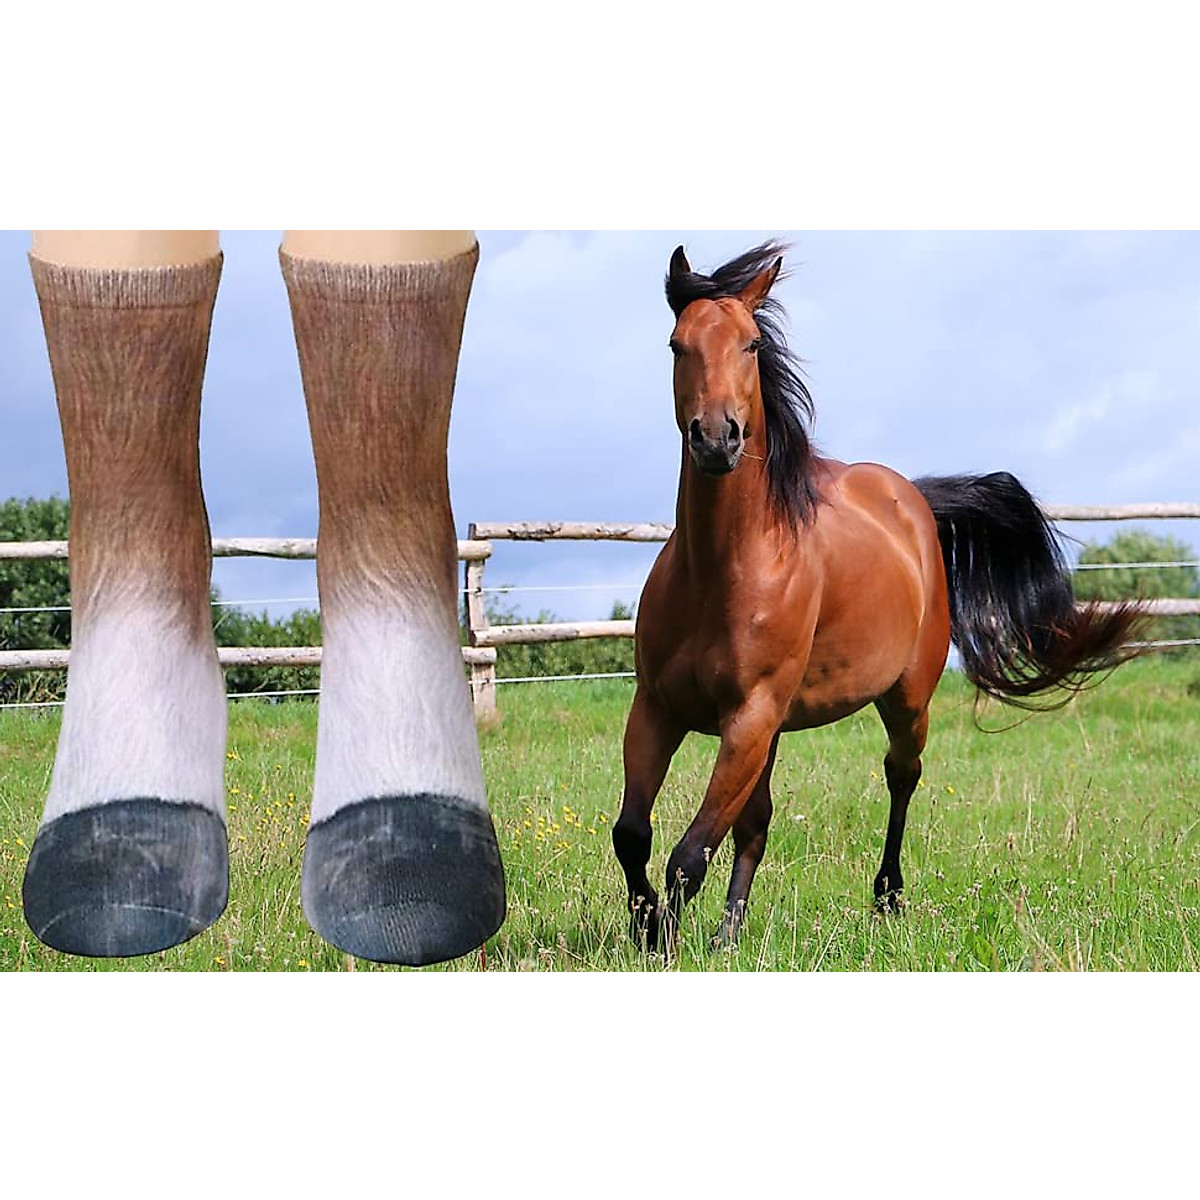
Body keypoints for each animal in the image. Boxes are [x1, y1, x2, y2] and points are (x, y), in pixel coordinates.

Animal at [612, 241, 1146, 954]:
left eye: (752, 344)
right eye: (678, 345)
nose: (717, 438)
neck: (721, 570)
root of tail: (913, 499)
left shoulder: (748, 718)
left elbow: (688, 855)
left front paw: (663, 942)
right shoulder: (660, 708)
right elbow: (634, 836)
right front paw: (651, 930)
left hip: (905, 698)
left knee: (902, 776)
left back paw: (887, 898)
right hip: (773, 728)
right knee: (757, 820)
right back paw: (731, 932)